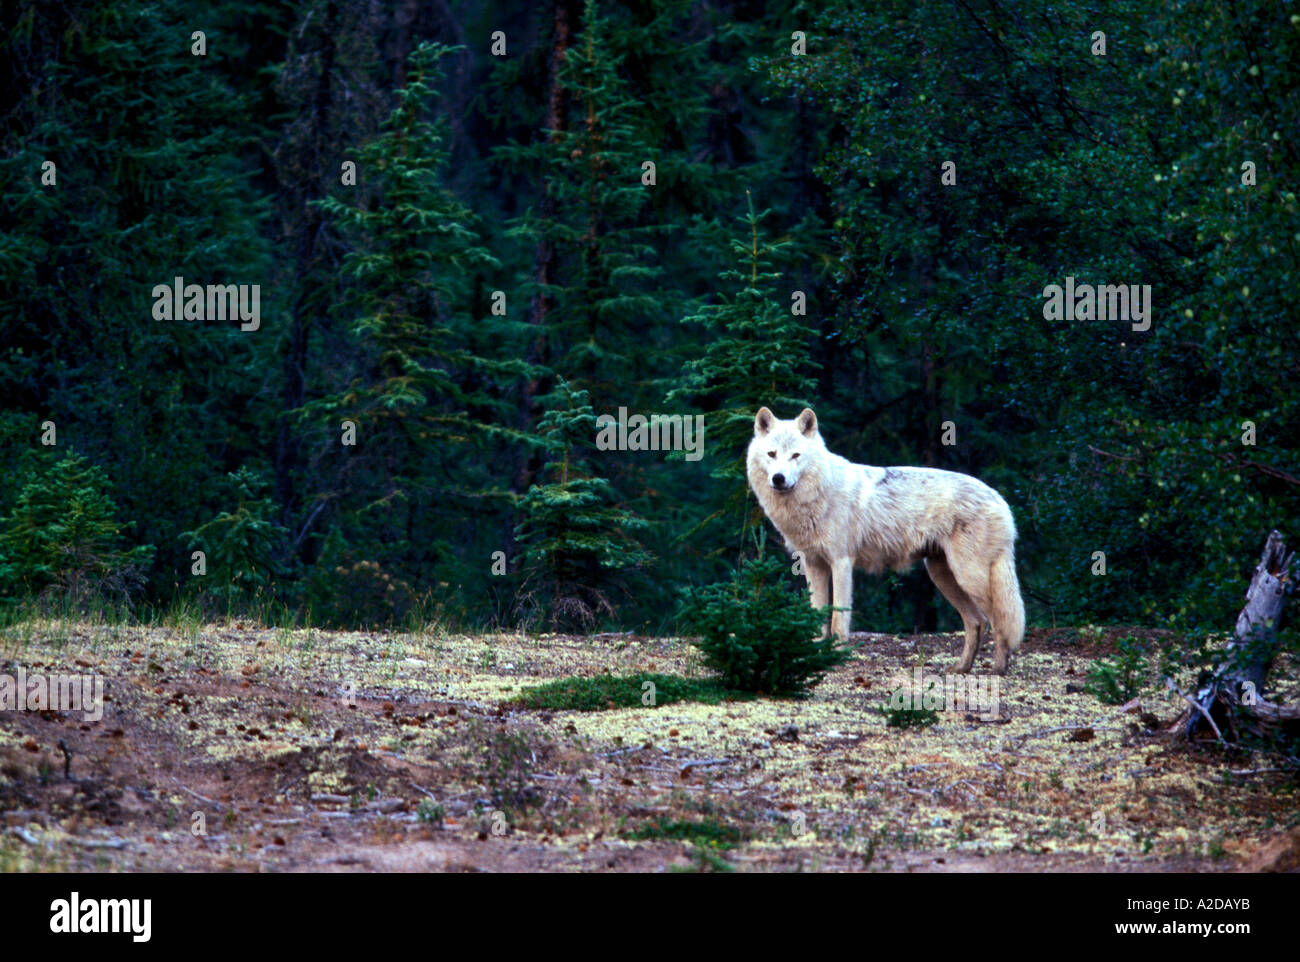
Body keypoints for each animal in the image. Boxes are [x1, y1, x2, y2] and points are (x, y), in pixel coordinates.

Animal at [747, 407, 1025, 674]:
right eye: (772, 454)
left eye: (795, 455)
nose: (779, 478)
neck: (817, 495)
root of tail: (1000, 500)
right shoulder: (813, 564)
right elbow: (818, 617)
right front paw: (814, 656)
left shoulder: (841, 562)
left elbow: (838, 618)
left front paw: (836, 655)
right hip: (943, 576)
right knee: (977, 622)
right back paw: (961, 668)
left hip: (968, 577)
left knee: (1000, 622)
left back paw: (998, 670)